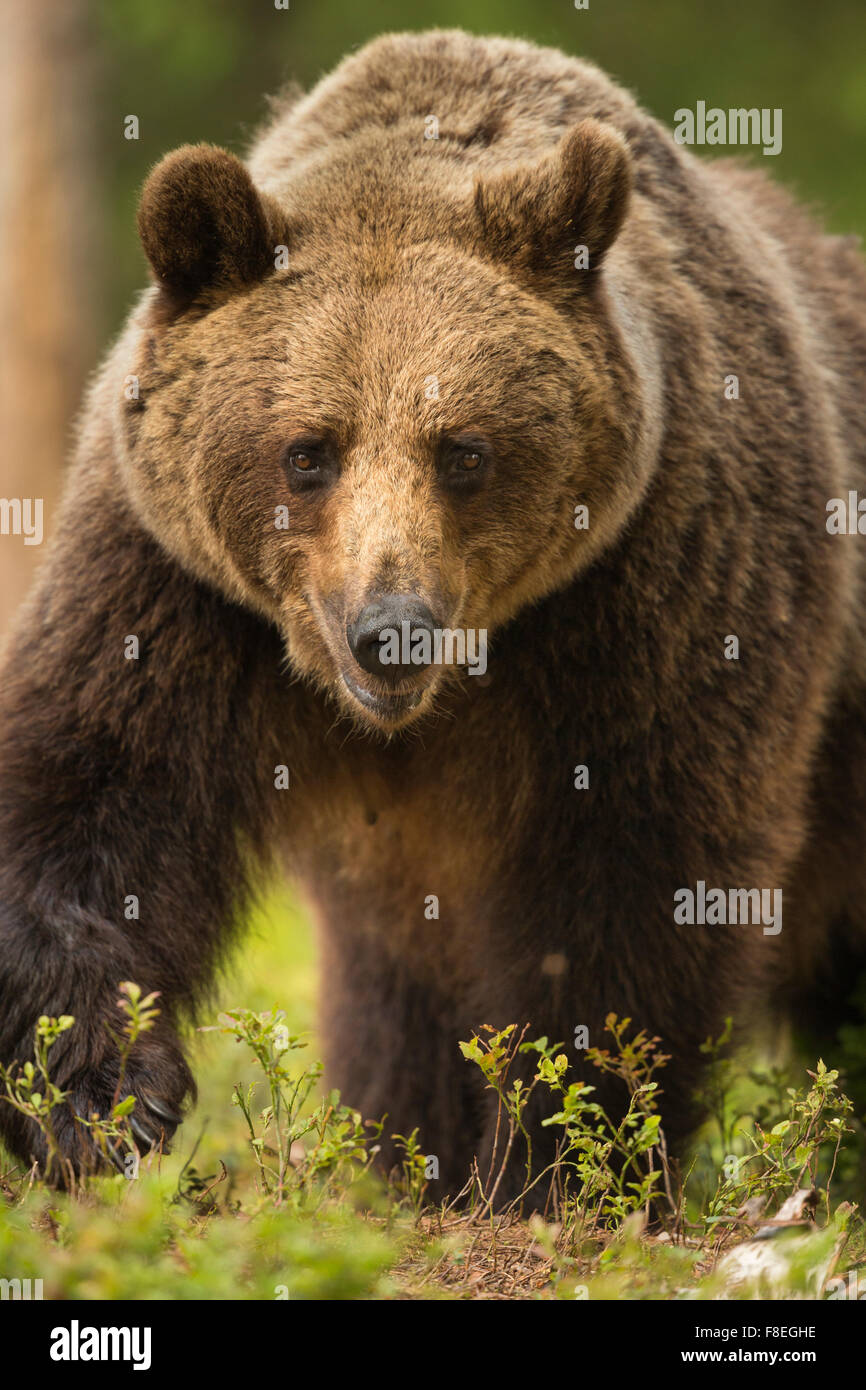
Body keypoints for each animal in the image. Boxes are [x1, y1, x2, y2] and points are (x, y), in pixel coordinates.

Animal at [1, 28, 866, 1198]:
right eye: (306, 450)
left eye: (464, 450)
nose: (392, 629)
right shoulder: (174, 587)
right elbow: (89, 793)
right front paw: (101, 1097)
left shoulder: (662, 577)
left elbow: (634, 878)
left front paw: (554, 1158)